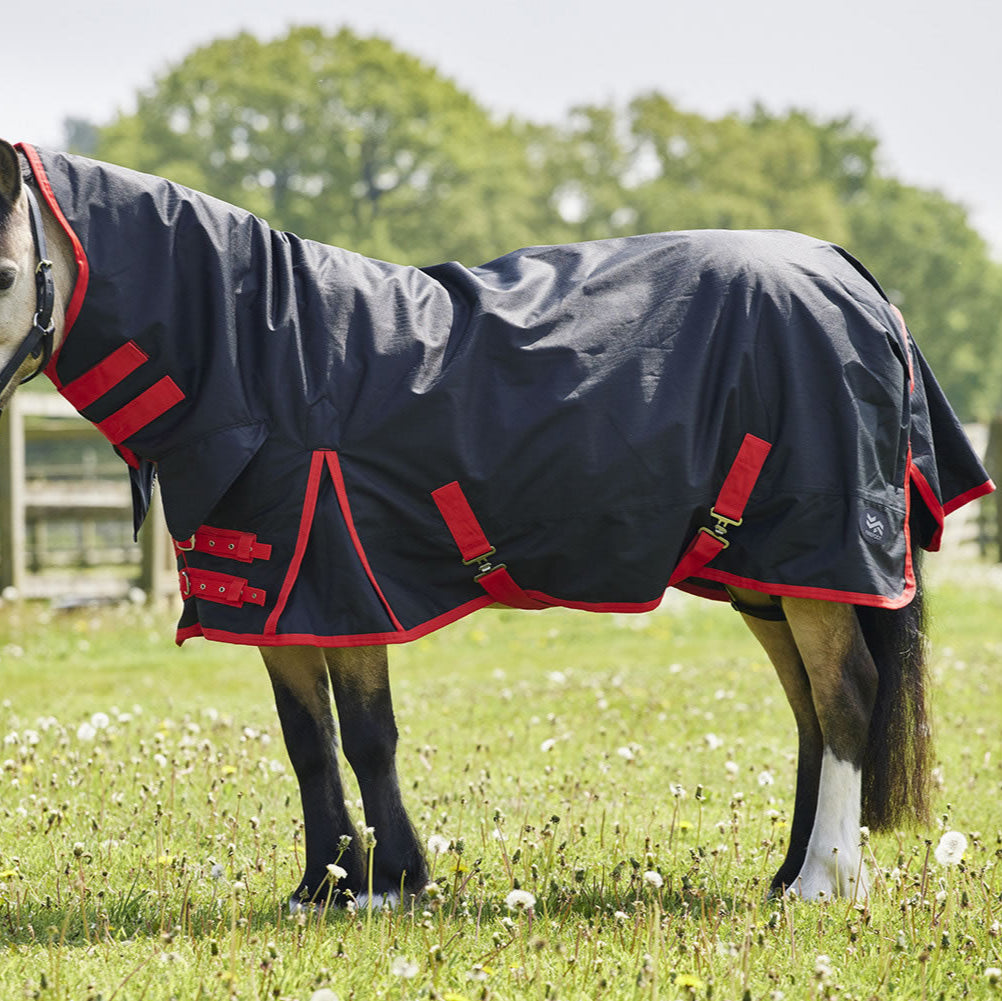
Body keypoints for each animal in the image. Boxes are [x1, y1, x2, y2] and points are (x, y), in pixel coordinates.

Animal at [0, 138, 993, 908]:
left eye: (7, 272)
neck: (265, 355)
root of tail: (847, 272)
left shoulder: (348, 582)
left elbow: (368, 736)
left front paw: (391, 882)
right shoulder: (278, 599)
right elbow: (308, 743)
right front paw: (321, 885)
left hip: (820, 559)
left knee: (848, 696)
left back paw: (827, 880)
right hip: (770, 574)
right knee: (811, 715)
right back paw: (788, 875)